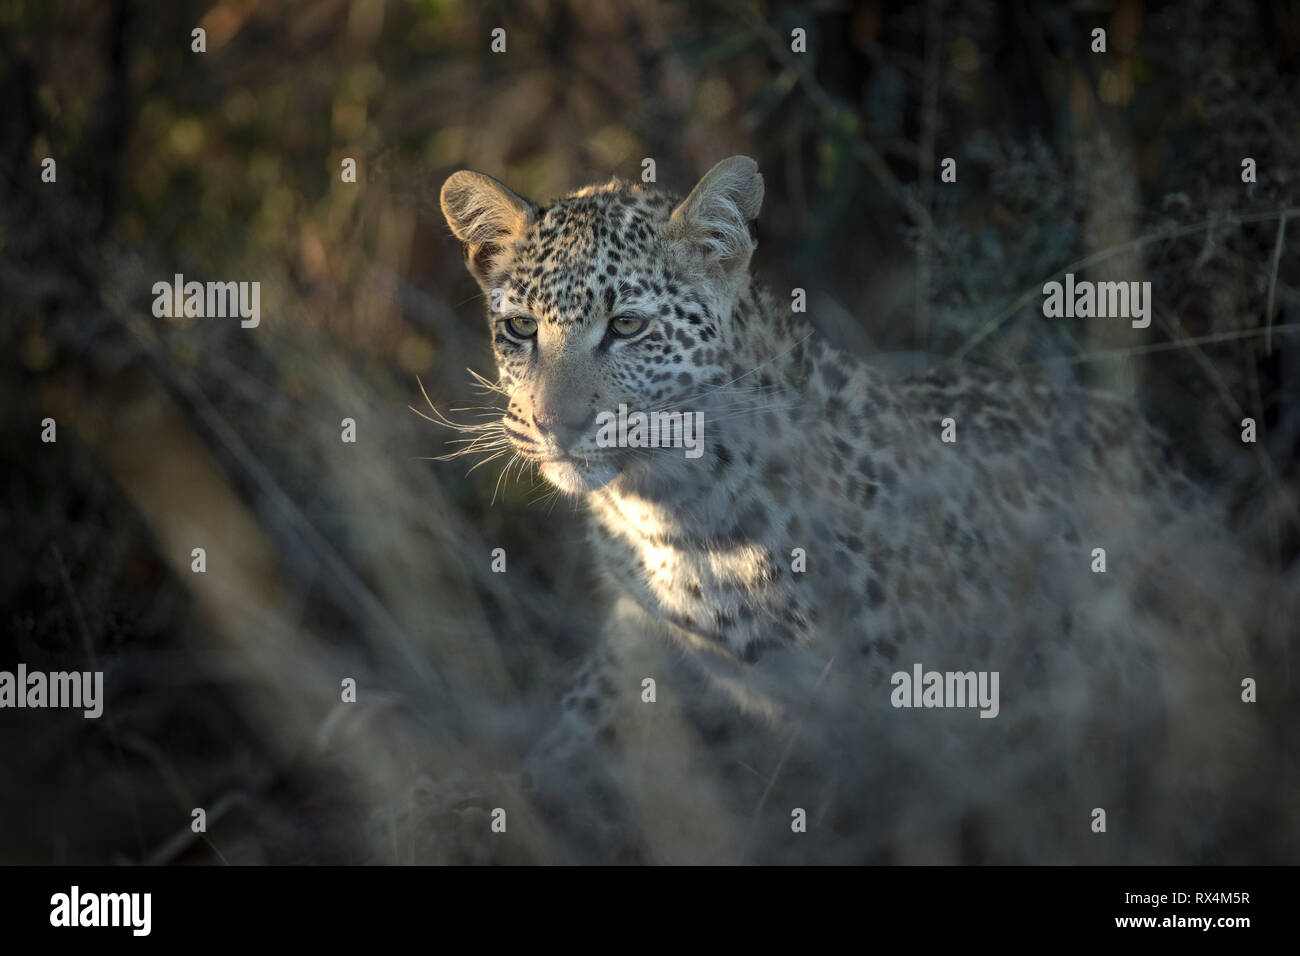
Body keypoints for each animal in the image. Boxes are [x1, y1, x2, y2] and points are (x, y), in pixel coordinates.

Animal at [438, 156, 1284, 864]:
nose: (555, 423)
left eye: (628, 327)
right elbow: (567, 746)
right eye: (519, 329)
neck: (668, 515)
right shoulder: (634, 647)